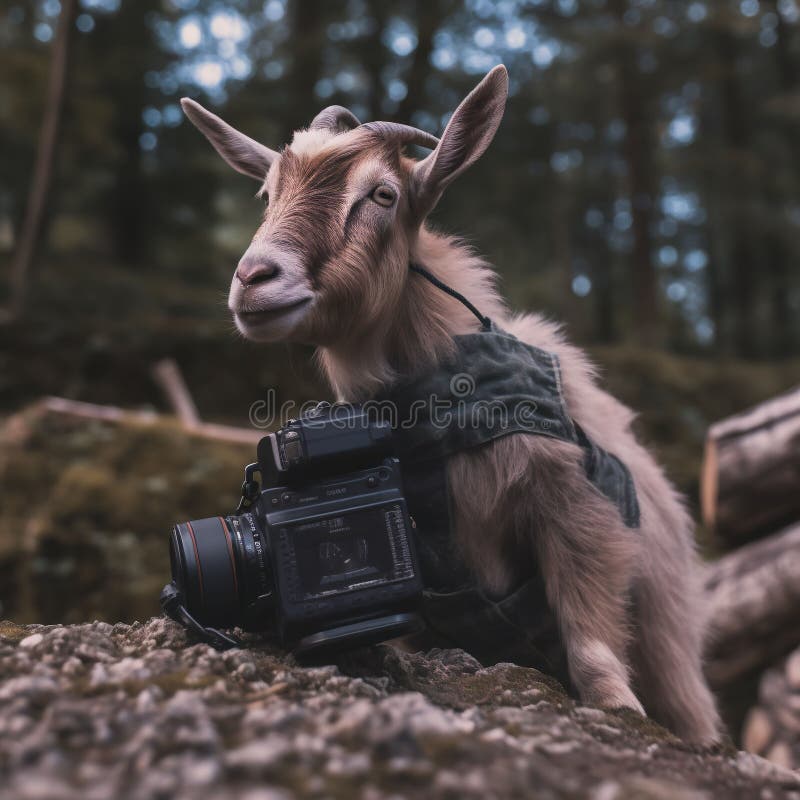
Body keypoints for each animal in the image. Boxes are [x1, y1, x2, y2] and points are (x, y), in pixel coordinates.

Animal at [181, 65, 722, 744]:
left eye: (382, 195)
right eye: (268, 192)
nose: (254, 279)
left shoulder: (577, 506)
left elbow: (591, 637)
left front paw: (617, 709)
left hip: (672, 643)